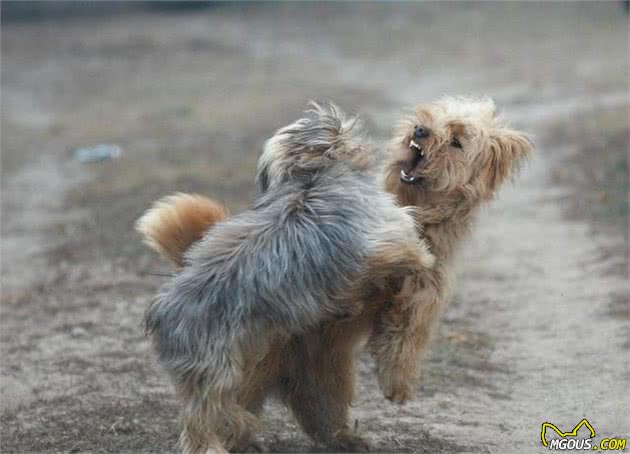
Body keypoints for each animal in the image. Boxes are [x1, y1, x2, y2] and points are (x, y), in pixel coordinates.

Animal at [139, 97, 532, 452]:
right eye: (431, 118)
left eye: (457, 141)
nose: (420, 130)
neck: (314, 180)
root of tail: (162, 309)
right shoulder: (386, 237)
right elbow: (407, 250)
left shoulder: (415, 300)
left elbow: (404, 330)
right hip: (224, 368)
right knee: (208, 416)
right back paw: (230, 434)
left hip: (286, 369)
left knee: (291, 409)